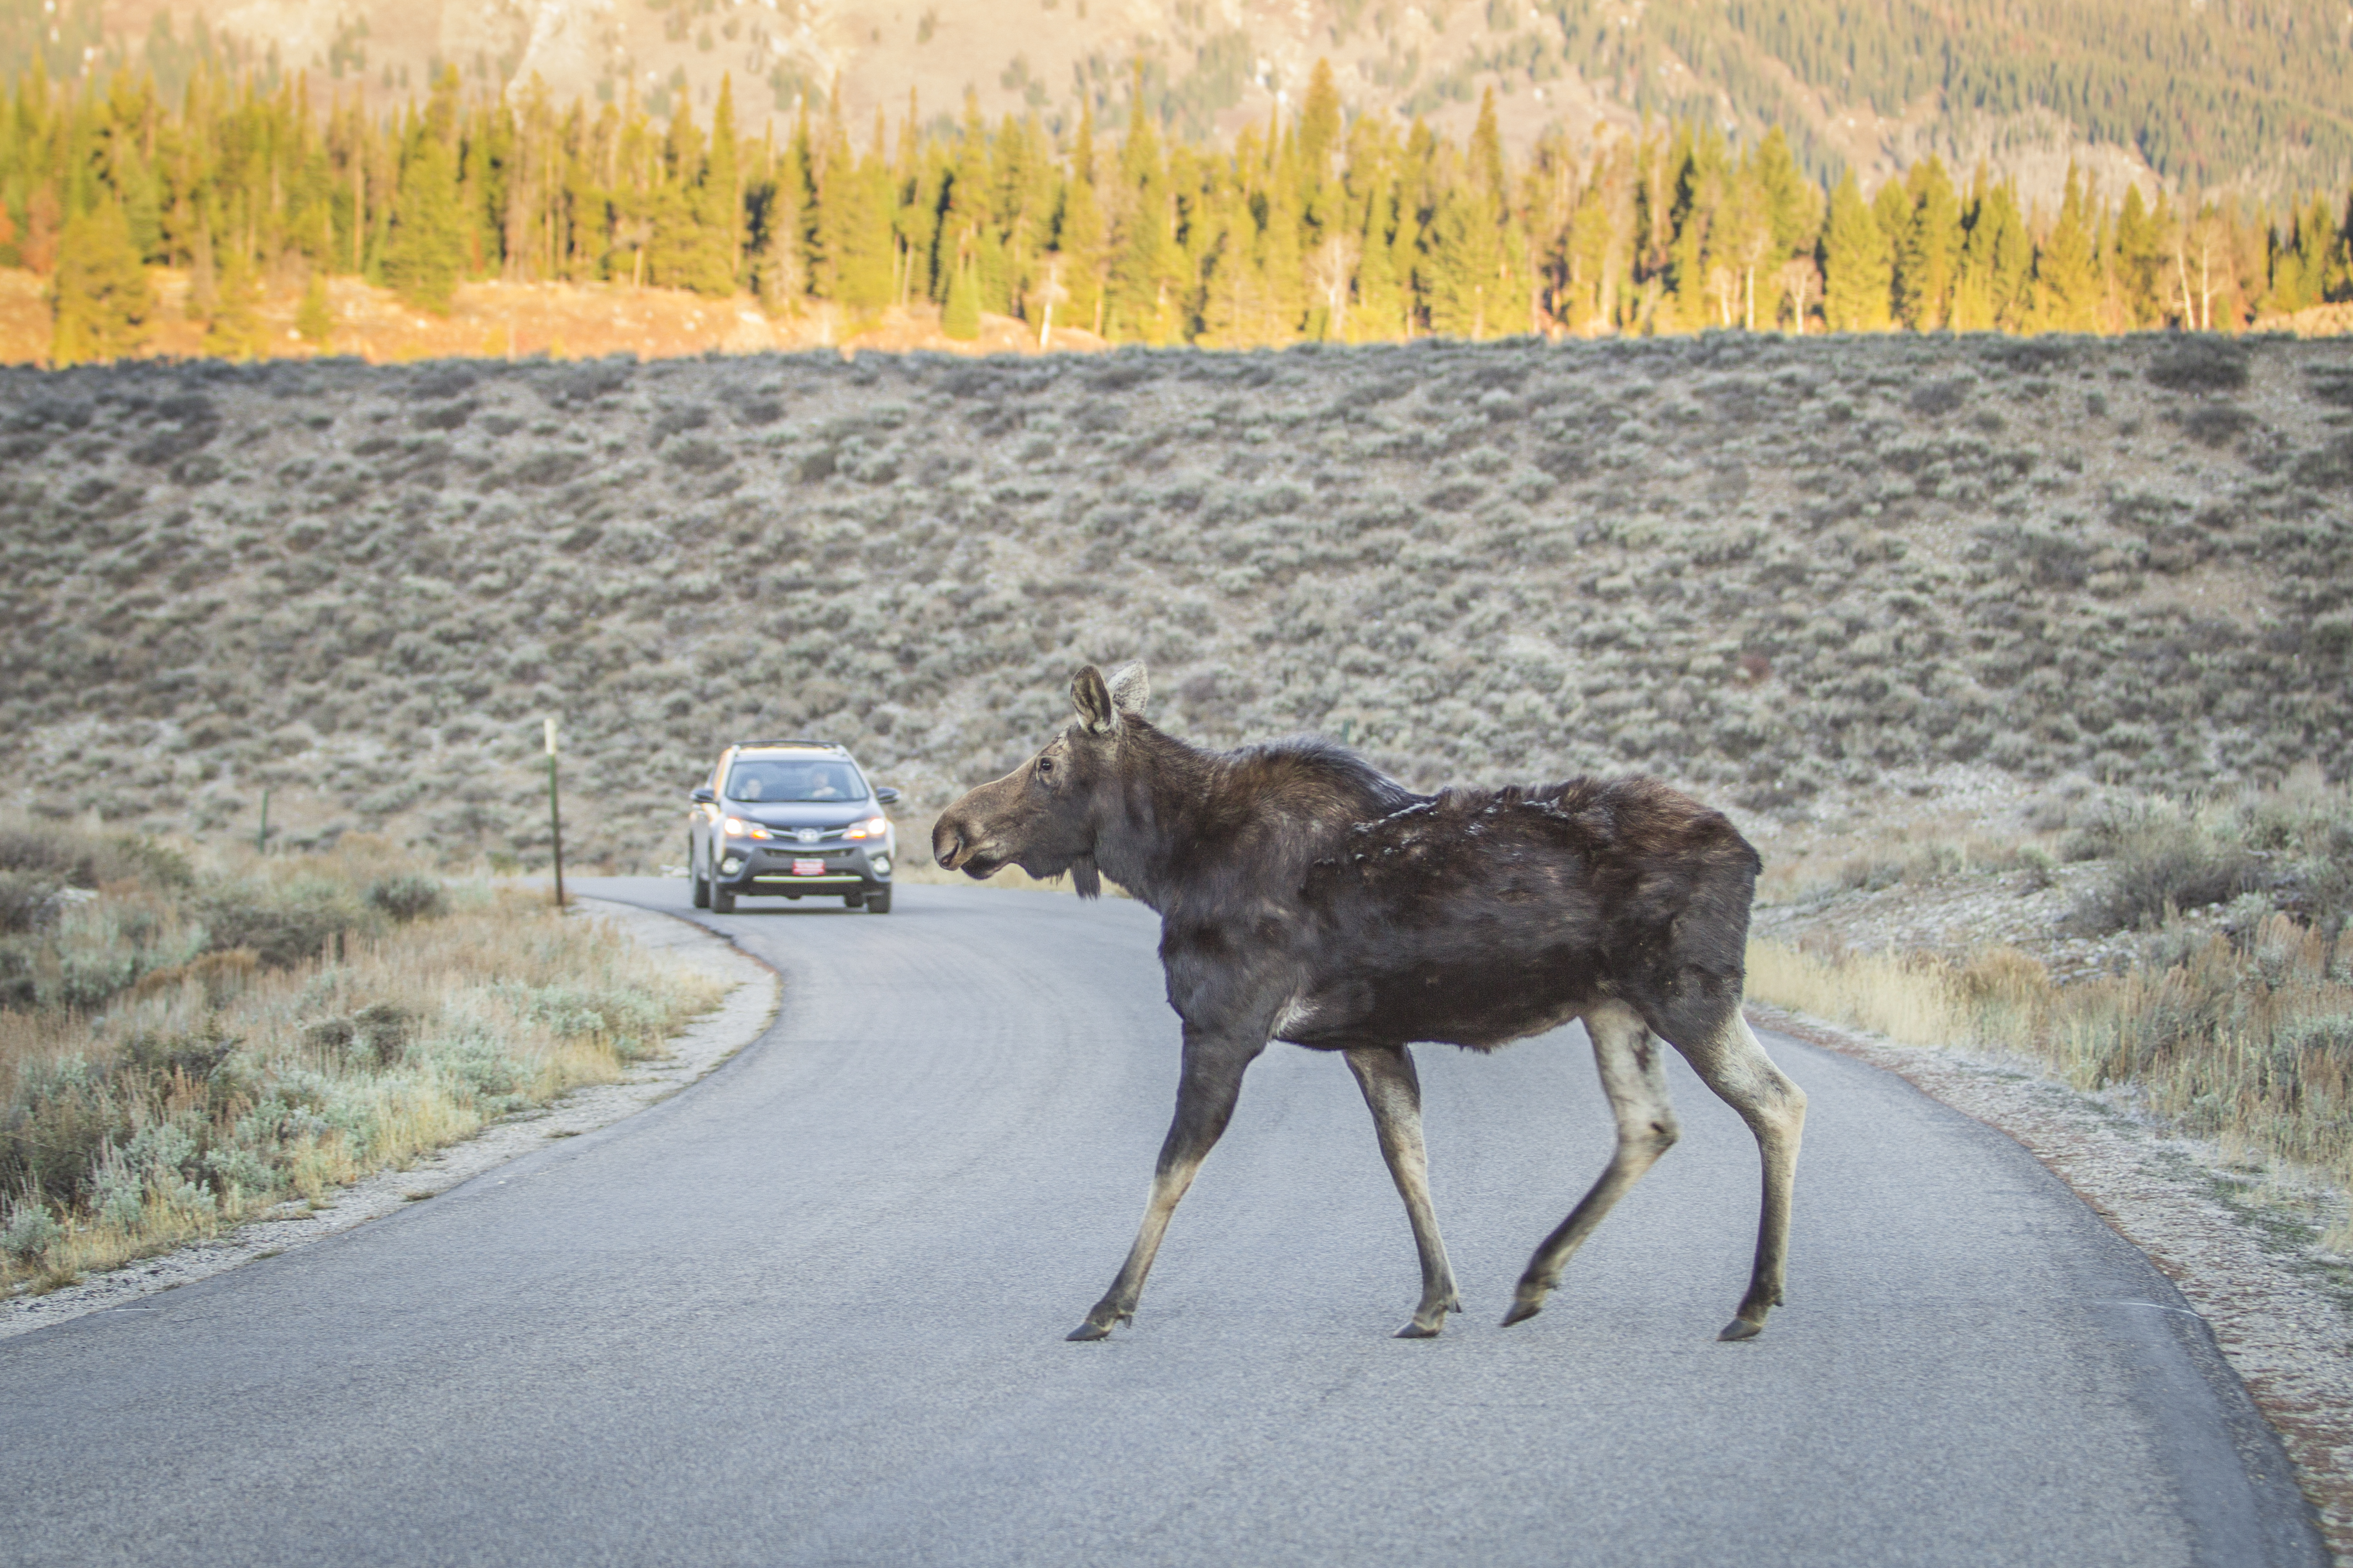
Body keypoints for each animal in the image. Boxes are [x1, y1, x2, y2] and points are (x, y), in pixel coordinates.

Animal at [931, 663, 1807, 1345]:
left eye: (1047, 763)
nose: (949, 829)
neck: (1166, 863)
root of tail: (1751, 853)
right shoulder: (1368, 1036)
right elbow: (1405, 1156)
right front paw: (1433, 1300)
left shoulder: (1223, 1025)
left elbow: (1172, 1166)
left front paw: (1109, 1305)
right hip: (1614, 1005)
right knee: (1648, 1123)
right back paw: (1536, 1277)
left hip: (1686, 988)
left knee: (1777, 1102)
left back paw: (1754, 1301)